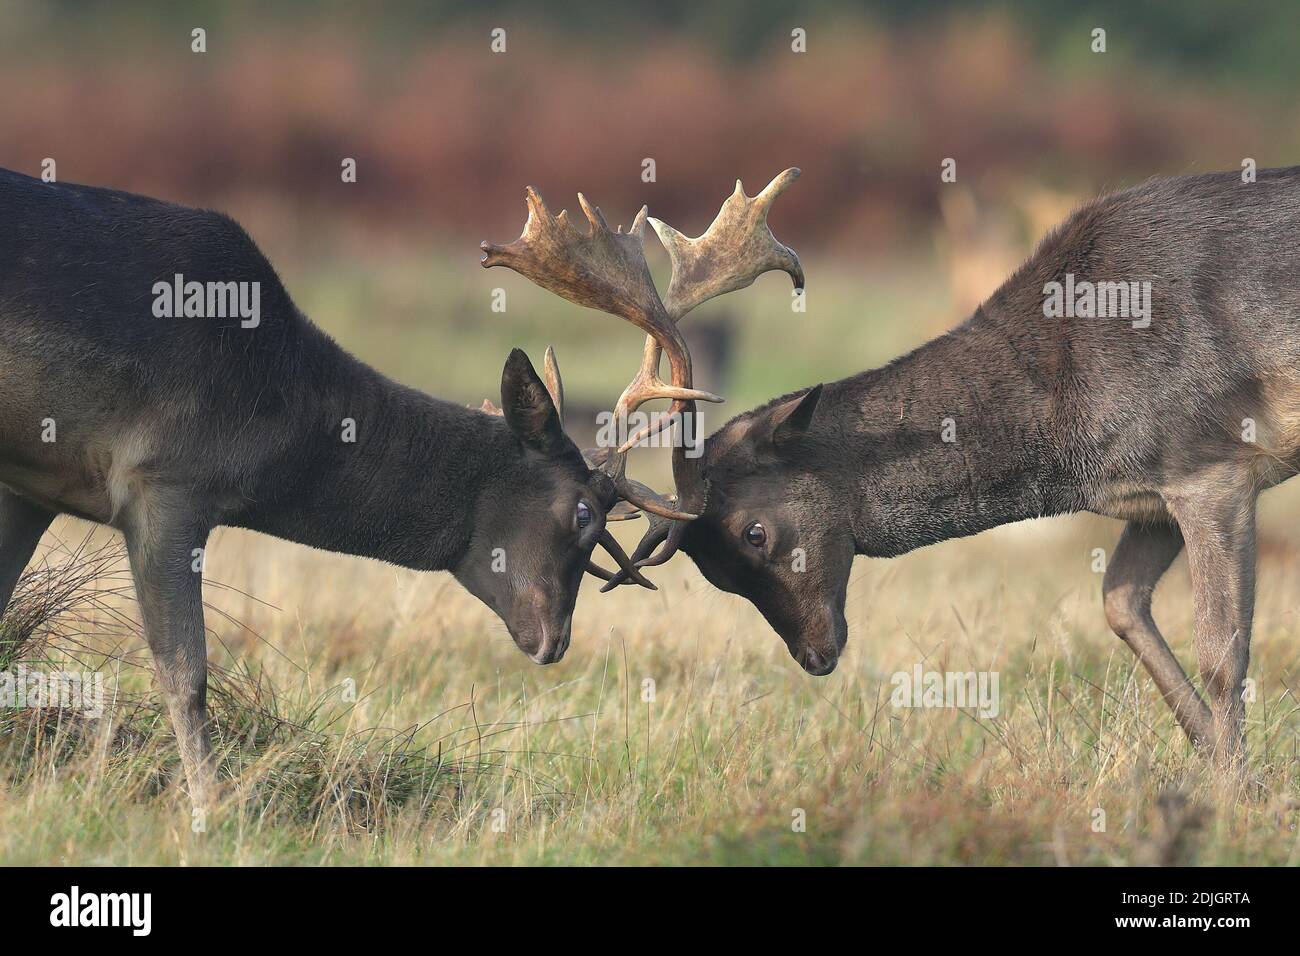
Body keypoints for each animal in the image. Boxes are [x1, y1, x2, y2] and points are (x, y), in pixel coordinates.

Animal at [0, 165, 730, 805]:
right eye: (583, 512)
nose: (555, 641)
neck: (272, 409)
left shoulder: (34, 490)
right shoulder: (162, 481)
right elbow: (186, 671)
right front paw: (212, 808)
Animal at [597, 164, 1300, 771]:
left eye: (755, 531)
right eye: (716, 576)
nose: (815, 656)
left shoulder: (1209, 466)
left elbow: (1222, 655)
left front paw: (1236, 794)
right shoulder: (1151, 497)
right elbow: (1121, 604)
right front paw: (1226, 769)